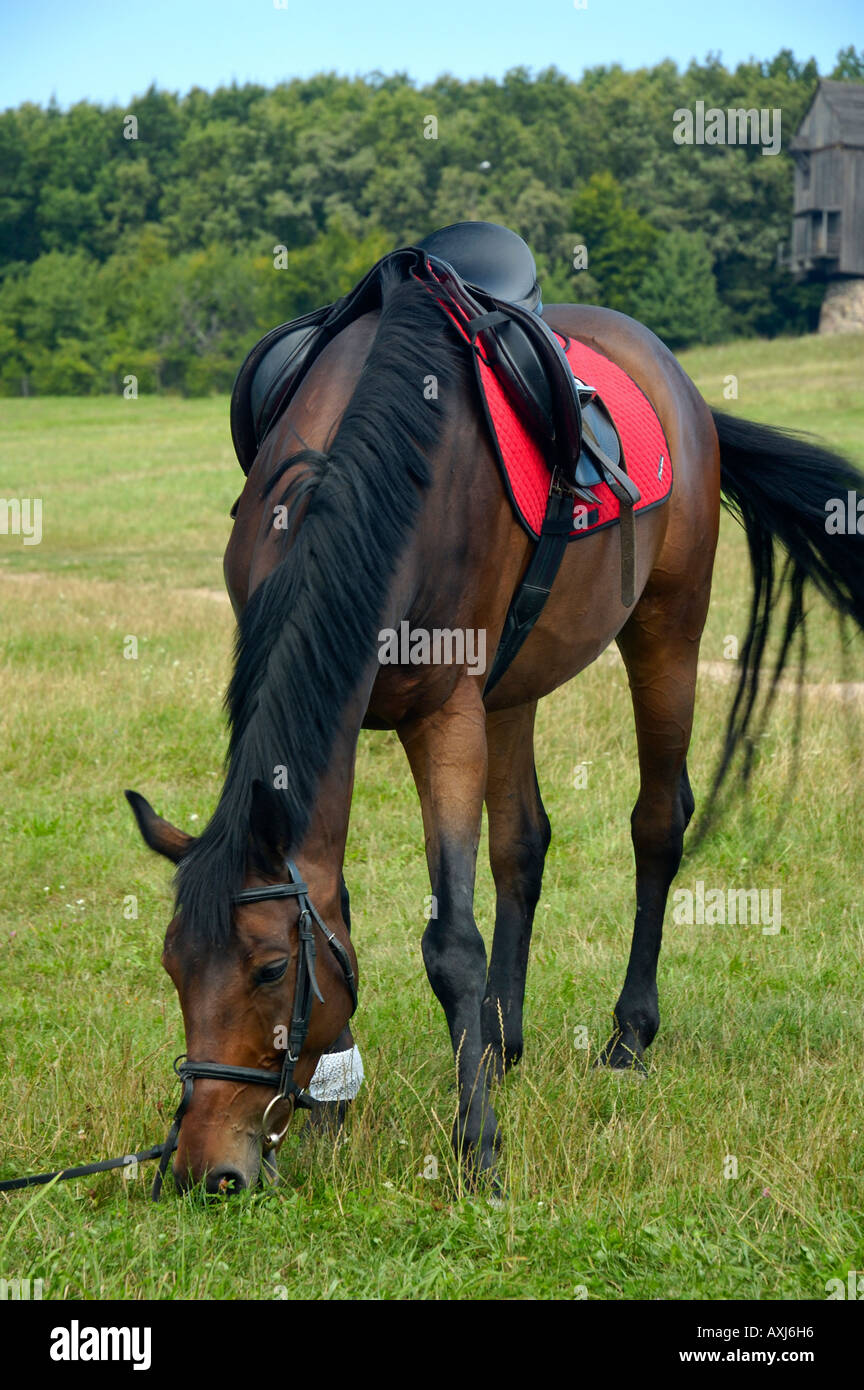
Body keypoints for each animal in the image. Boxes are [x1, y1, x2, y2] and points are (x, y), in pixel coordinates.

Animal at [127, 258, 864, 1197]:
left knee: (658, 825)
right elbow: (343, 900)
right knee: (524, 843)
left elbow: (451, 943)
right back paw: (502, 1045)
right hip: (515, 686)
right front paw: (335, 1106)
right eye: (173, 966)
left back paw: (628, 1037)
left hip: (668, 628)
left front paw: (477, 1146)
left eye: (269, 969)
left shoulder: (444, 715)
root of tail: (684, 387)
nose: (203, 1168)